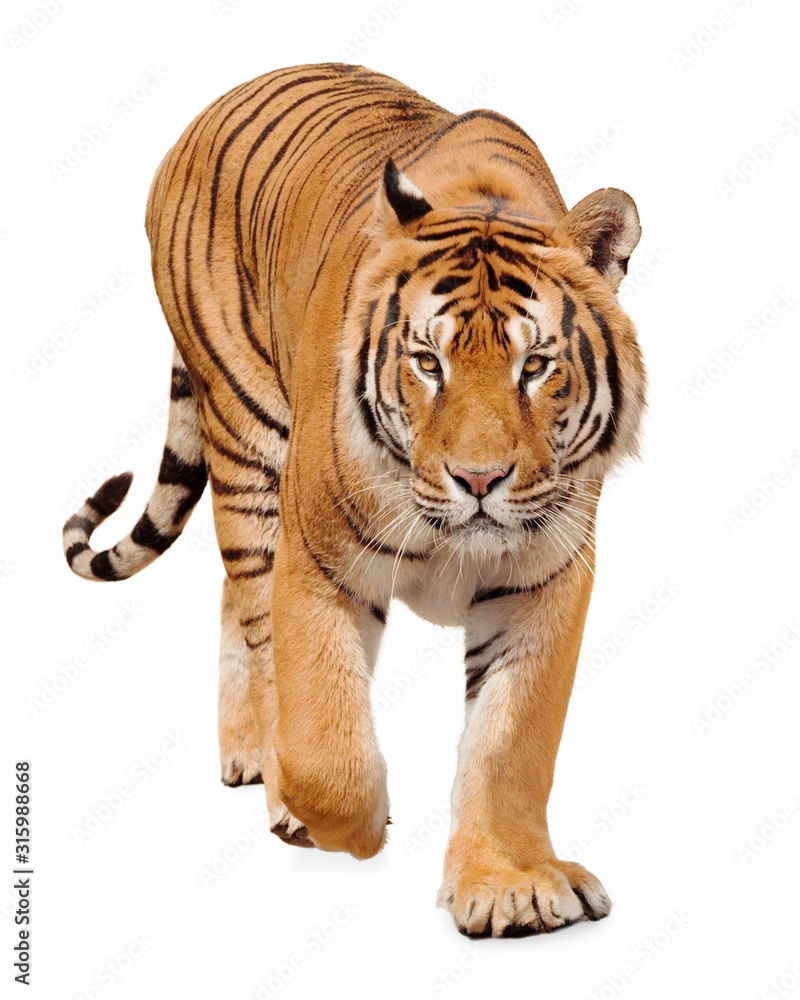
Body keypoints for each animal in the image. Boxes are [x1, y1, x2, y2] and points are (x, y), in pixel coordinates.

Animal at [62, 63, 646, 938]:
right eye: (427, 362)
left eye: (536, 365)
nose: (480, 481)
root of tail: (219, 100)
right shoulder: (318, 556)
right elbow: (323, 736)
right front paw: (345, 821)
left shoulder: (543, 575)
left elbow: (510, 741)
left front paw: (510, 885)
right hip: (248, 447)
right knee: (253, 611)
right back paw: (271, 778)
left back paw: (244, 754)